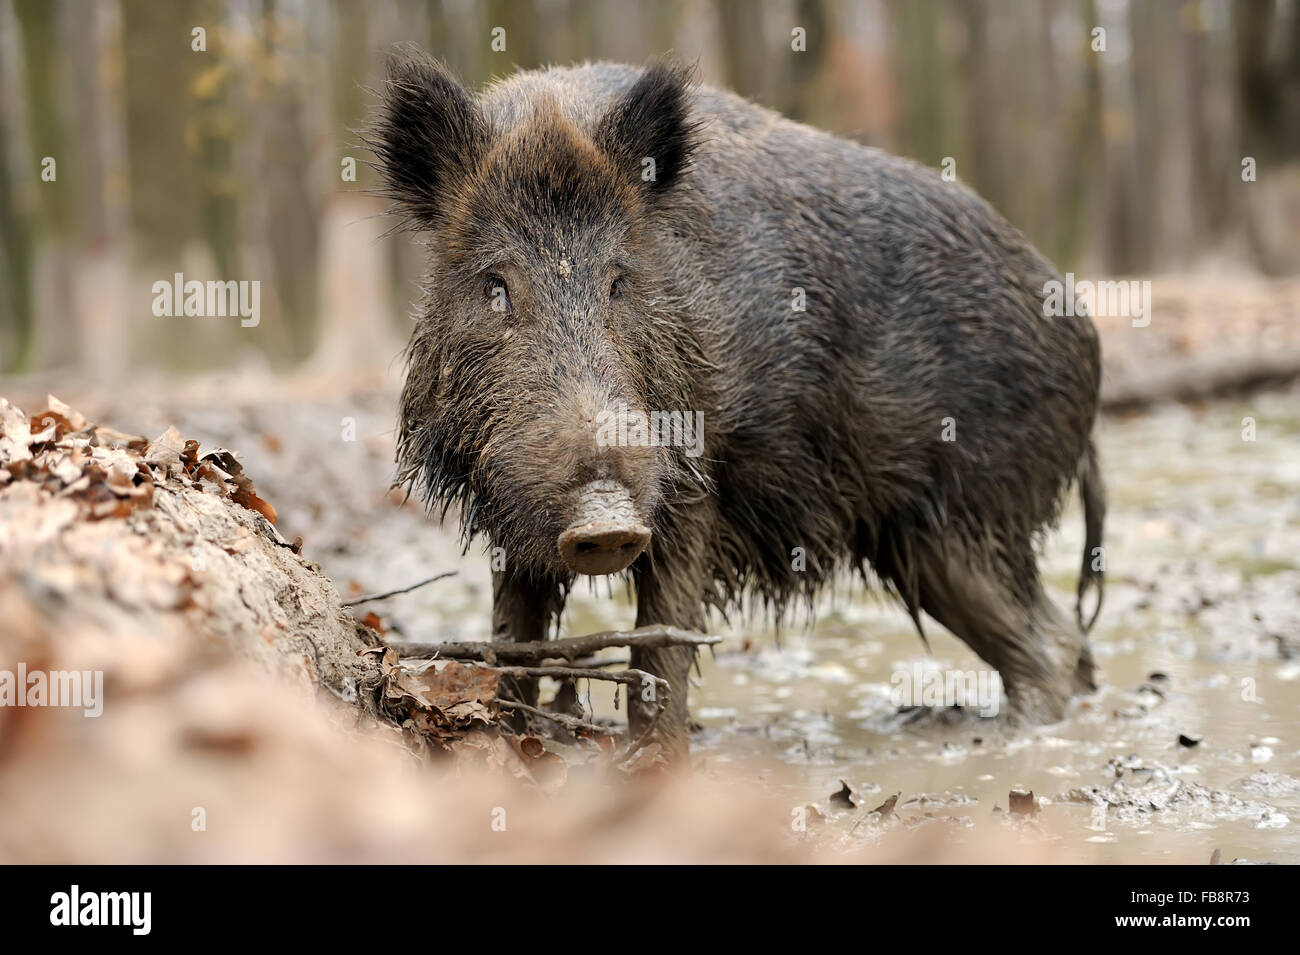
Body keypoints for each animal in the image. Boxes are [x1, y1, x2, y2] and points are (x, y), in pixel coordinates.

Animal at [371, 50, 1105, 759]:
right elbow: (513, 633)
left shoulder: (696, 475)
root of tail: (1081, 330)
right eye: (494, 285)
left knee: (1049, 645)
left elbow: (663, 639)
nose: (605, 519)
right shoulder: (510, 505)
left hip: (972, 509)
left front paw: (657, 762)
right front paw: (510, 739)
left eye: (619, 282)